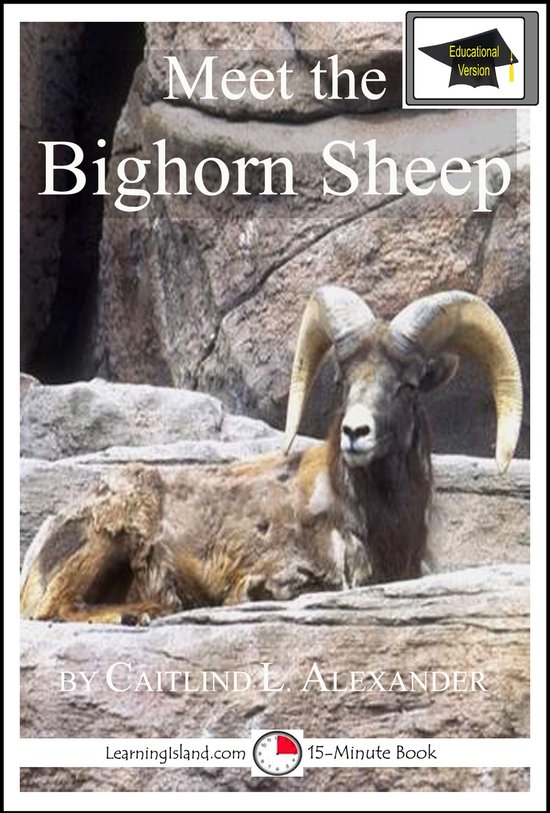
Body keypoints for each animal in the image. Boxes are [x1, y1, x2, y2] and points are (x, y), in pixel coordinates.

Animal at [20, 287, 523, 624]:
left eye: (408, 384)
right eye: (342, 380)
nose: (355, 433)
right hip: (110, 539)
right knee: (55, 609)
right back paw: (144, 612)